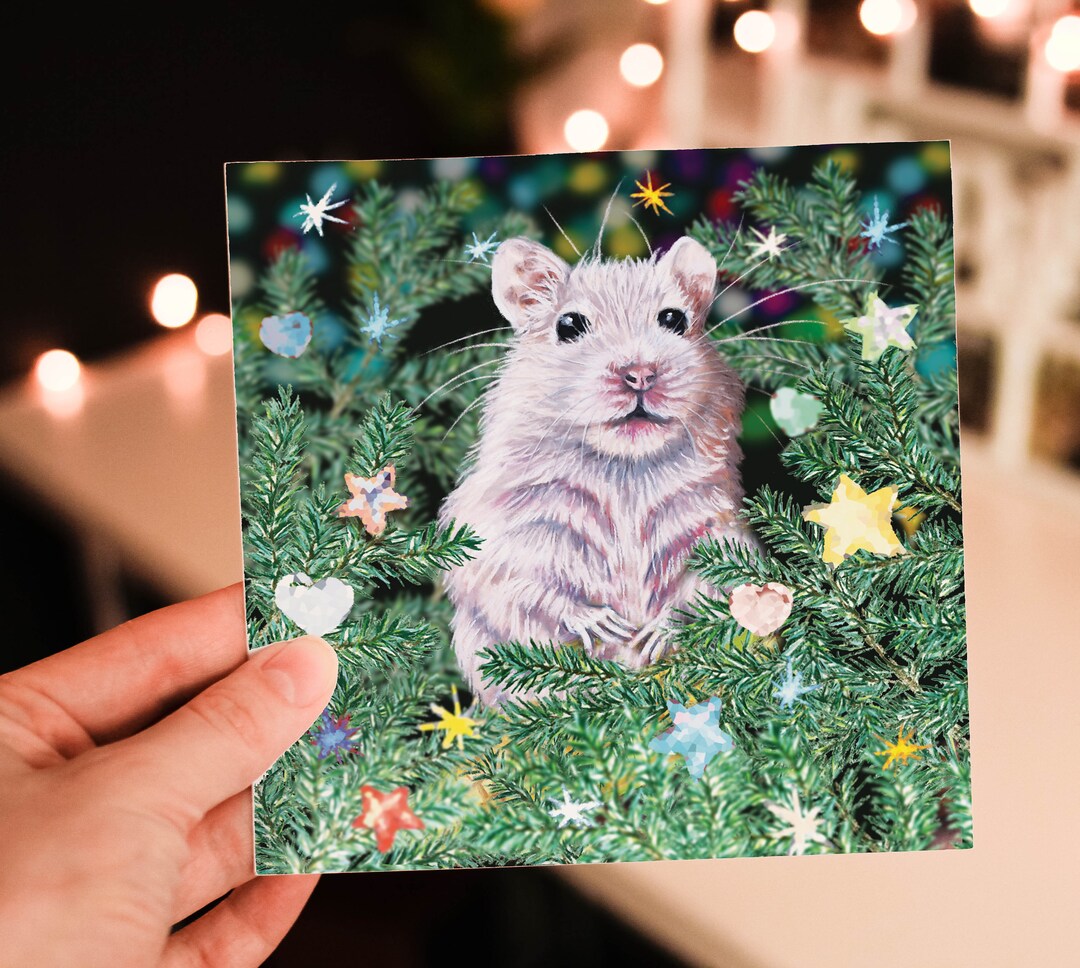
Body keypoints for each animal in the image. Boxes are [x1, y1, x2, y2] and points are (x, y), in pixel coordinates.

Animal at [438, 235, 755, 707]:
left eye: (674, 318)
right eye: (568, 325)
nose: (640, 375)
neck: (625, 470)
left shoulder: (716, 527)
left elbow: (708, 585)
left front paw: (652, 637)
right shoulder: (502, 538)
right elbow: (521, 585)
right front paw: (603, 624)